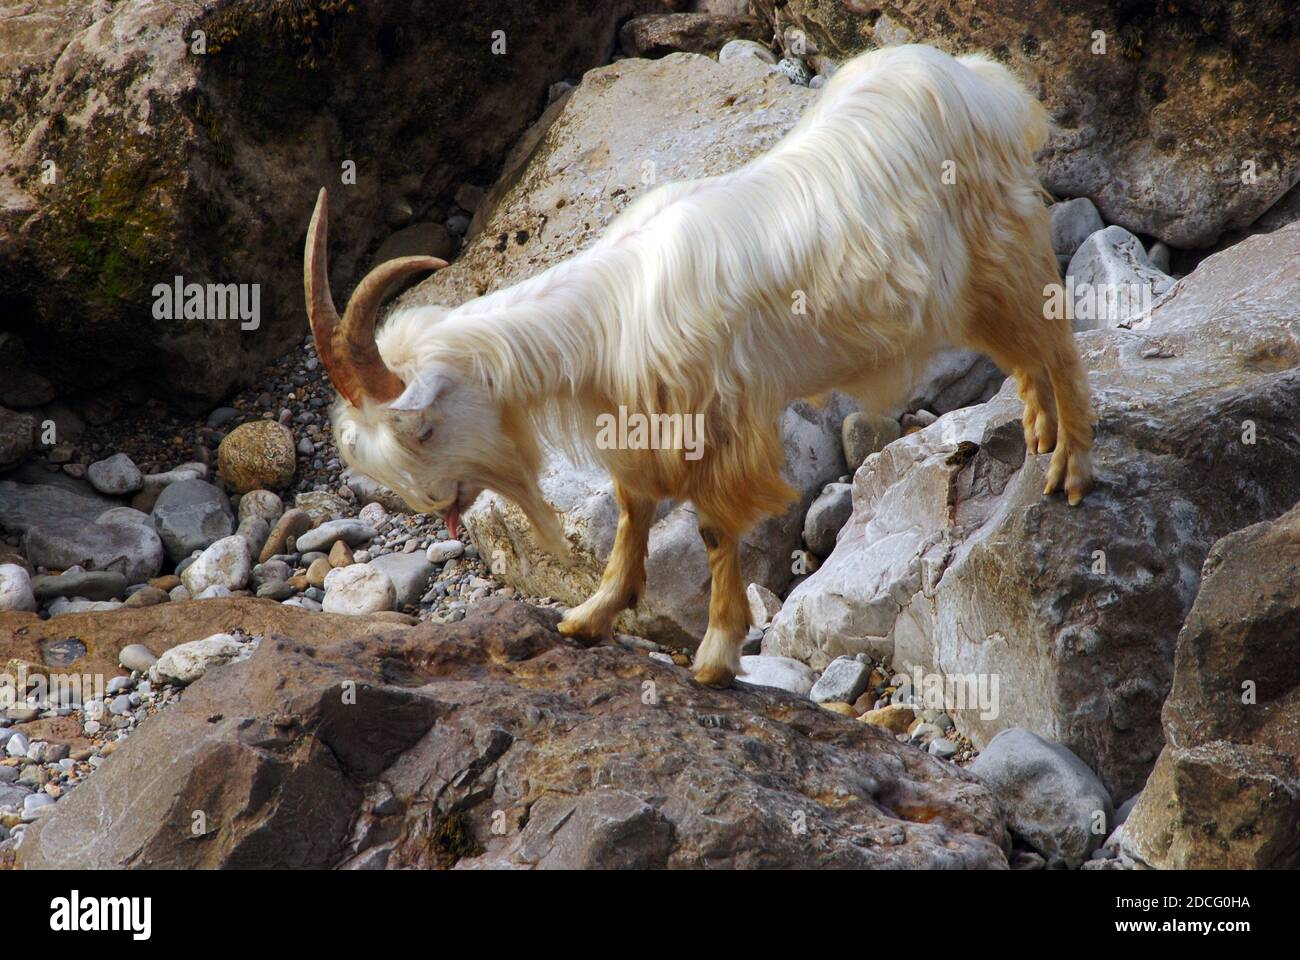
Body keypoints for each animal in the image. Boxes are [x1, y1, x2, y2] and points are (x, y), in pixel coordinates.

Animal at [303, 44, 1093, 687]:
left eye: (423, 429)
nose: (437, 506)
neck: (609, 312)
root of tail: (982, 84)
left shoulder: (718, 422)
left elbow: (714, 532)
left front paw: (716, 655)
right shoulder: (643, 425)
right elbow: (631, 515)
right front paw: (592, 615)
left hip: (1002, 251)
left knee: (1058, 343)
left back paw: (1069, 470)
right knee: (1026, 355)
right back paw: (1037, 431)